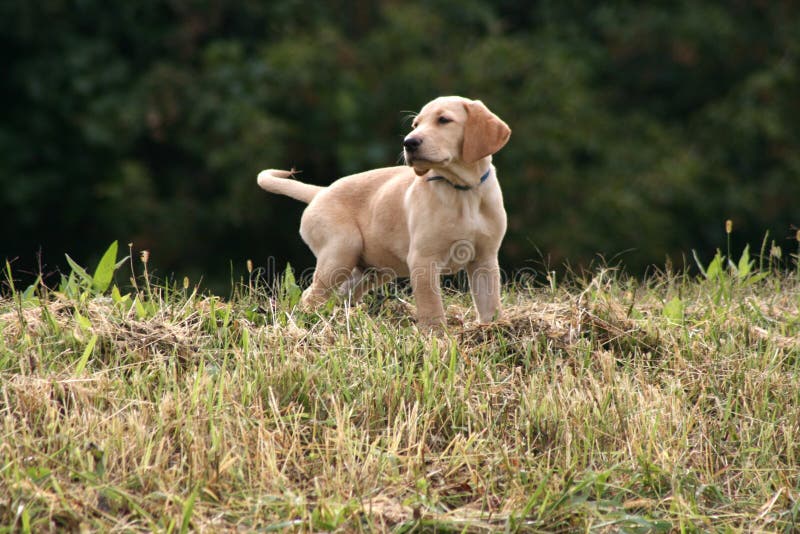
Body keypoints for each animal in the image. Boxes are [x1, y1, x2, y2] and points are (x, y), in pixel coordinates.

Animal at [260, 98, 512, 328]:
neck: (463, 190)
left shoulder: (484, 259)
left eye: (444, 120)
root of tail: (321, 191)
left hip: (370, 269)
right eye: (415, 124)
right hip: (340, 250)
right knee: (311, 295)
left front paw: (493, 329)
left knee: (340, 294)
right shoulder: (423, 260)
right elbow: (432, 308)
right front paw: (437, 339)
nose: (408, 142)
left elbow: (489, 304)